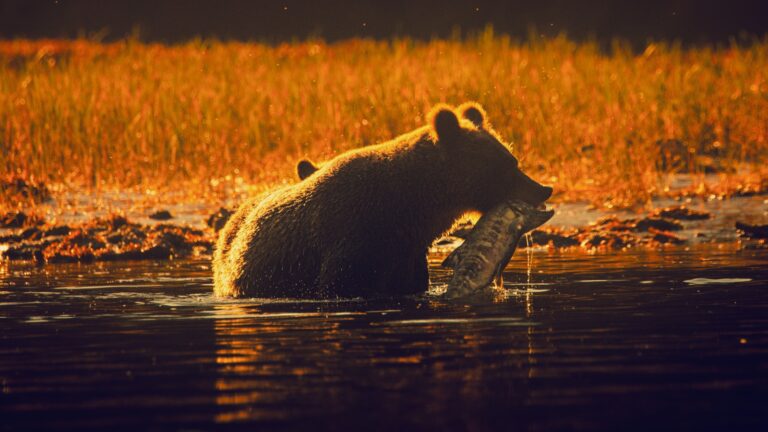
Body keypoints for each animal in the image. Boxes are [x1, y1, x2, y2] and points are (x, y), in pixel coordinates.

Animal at [213, 103, 552, 298]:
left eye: (513, 158)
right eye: (507, 165)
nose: (543, 189)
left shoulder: (404, 252)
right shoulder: (352, 238)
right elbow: (342, 283)